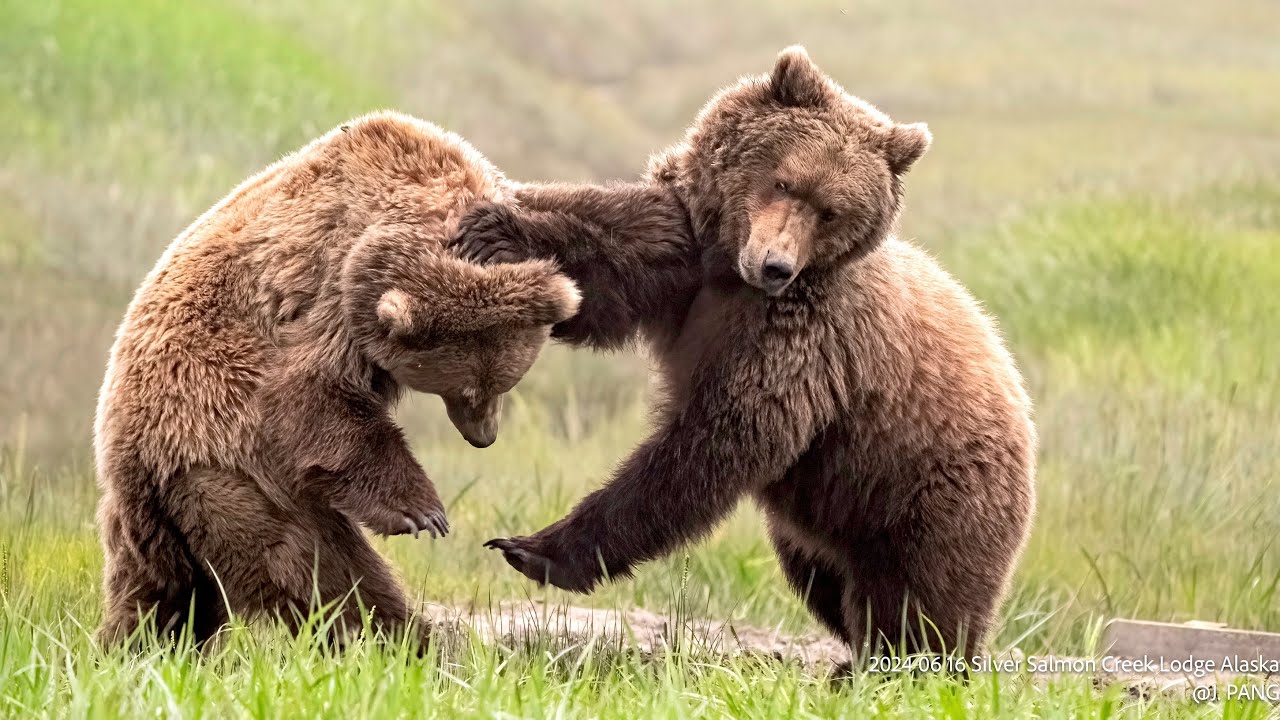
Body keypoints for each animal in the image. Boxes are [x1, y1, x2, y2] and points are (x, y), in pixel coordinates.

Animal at [94, 111, 581, 649]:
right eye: (468, 389)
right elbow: (311, 394)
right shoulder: (327, 292)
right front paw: (422, 511)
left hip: (161, 507)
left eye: (502, 386)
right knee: (316, 565)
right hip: (222, 454)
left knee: (160, 591)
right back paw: (401, 636)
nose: (484, 436)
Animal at [454, 47, 1036, 664]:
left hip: (926, 486)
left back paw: (901, 662)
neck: (737, 278)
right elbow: (609, 270)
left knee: (919, 598)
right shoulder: (689, 261)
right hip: (833, 513)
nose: (776, 265)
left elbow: (725, 436)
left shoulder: (805, 341)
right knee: (824, 578)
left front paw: (536, 547)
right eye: (784, 180)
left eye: (831, 211)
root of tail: (1022, 408)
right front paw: (496, 233)